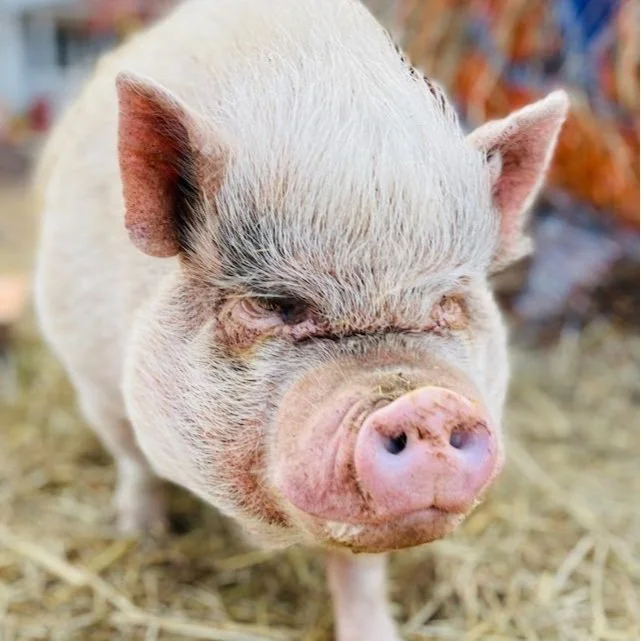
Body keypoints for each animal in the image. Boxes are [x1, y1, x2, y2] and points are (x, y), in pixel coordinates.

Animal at [33, 0, 568, 638]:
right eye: (276, 306)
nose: (427, 404)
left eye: (446, 303)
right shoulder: (94, 380)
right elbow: (134, 462)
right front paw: (140, 536)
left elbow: (360, 568)